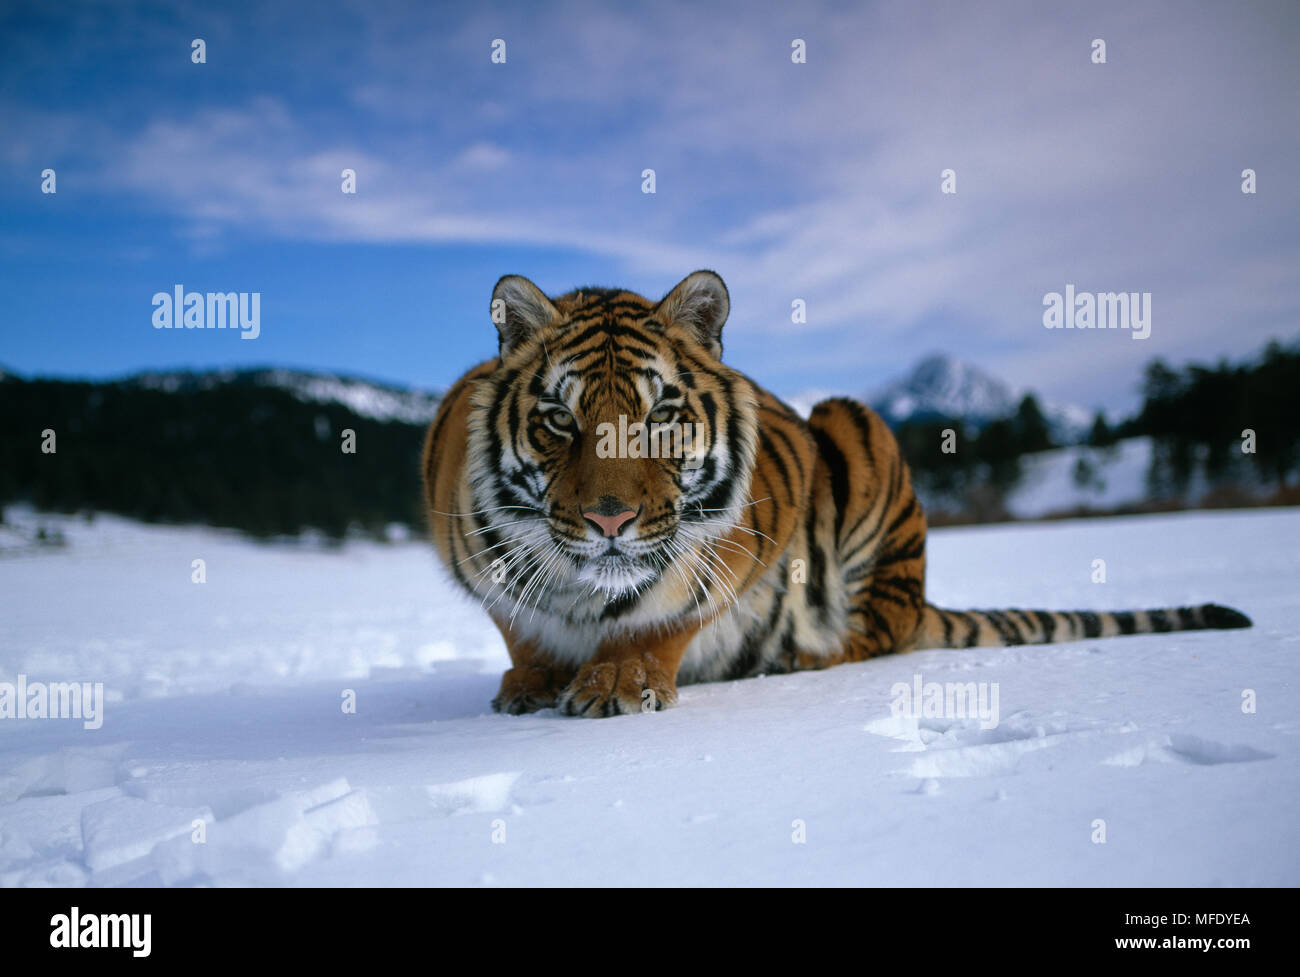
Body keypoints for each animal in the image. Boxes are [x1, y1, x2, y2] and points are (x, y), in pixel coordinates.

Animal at [422, 270, 1252, 718]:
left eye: (659, 417)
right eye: (560, 419)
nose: (611, 519)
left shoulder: (743, 536)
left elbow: (664, 615)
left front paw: (619, 681)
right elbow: (519, 628)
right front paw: (530, 682)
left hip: (856, 431)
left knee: (872, 634)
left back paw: (802, 657)